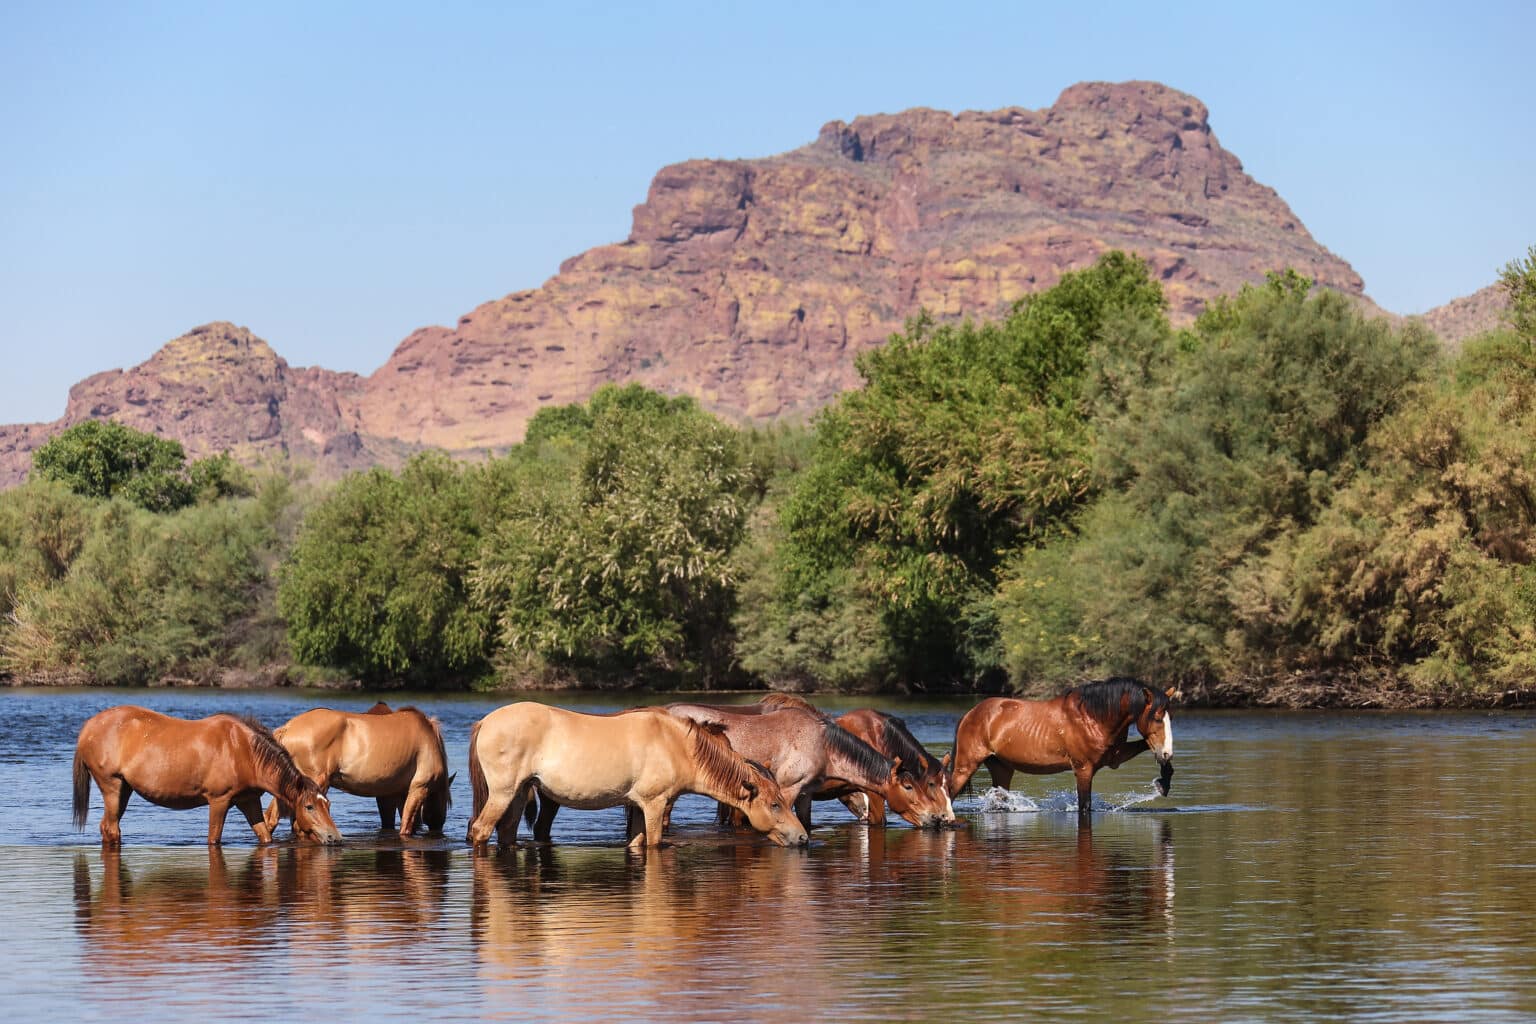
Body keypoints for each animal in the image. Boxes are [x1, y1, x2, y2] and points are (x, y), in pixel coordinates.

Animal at [72, 706, 343, 846]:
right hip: (112, 786)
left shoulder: (248, 801)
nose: (335, 837)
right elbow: (214, 839)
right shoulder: (219, 801)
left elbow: (264, 835)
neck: (243, 749)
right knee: (110, 828)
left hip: (125, 789)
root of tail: (88, 727)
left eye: (328, 804)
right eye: (309, 806)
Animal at [262, 703, 454, 837]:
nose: (438, 827)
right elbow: (406, 827)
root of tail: (288, 728)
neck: (430, 739)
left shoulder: (399, 793)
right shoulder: (419, 788)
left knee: (271, 819)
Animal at [465, 703, 809, 849]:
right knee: (481, 830)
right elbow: (654, 845)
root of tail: (485, 721)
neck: (677, 744)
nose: (803, 837)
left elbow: (636, 842)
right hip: (502, 793)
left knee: (506, 833)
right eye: (775, 804)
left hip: (519, 793)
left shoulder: (638, 807)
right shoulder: (655, 804)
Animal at [948, 677, 1175, 821]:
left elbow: (1143, 744)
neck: (1093, 716)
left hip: (1001, 768)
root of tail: (970, 714)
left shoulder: (1114, 757)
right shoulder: (1083, 769)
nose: (1166, 753)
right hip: (965, 766)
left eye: (1169, 717)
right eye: (1157, 718)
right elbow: (1085, 806)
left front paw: (1164, 780)